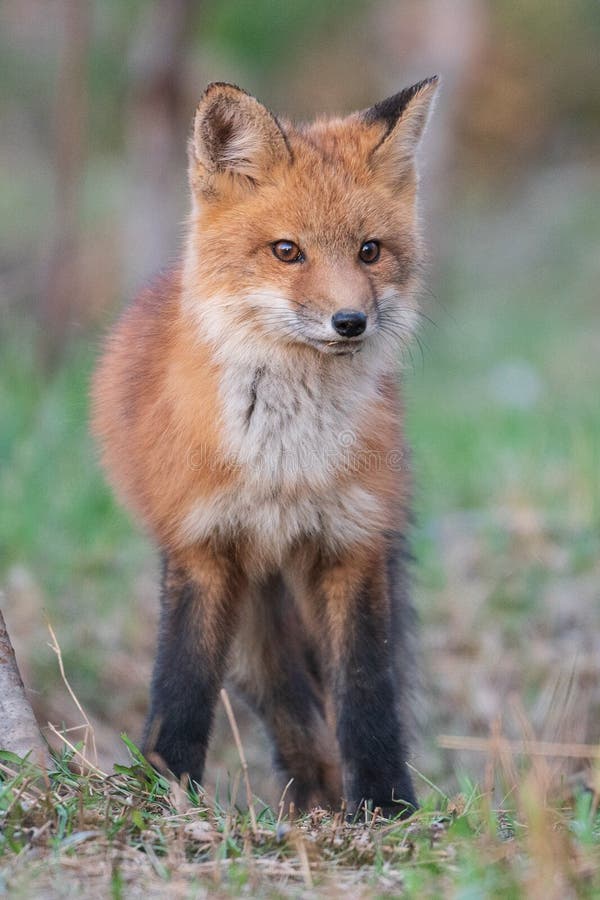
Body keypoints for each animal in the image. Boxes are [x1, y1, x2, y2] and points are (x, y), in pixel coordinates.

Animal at [91, 77, 439, 819]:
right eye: (287, 251)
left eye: (370, 251)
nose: (350, 322)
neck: (287, 469)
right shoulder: (202, 548)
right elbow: (181, 686)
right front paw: (165, 791)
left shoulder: (352, 545)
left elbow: (368, 697)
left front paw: (388, 811)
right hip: (254, 622)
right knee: (294, 717)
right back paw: (310, 804)